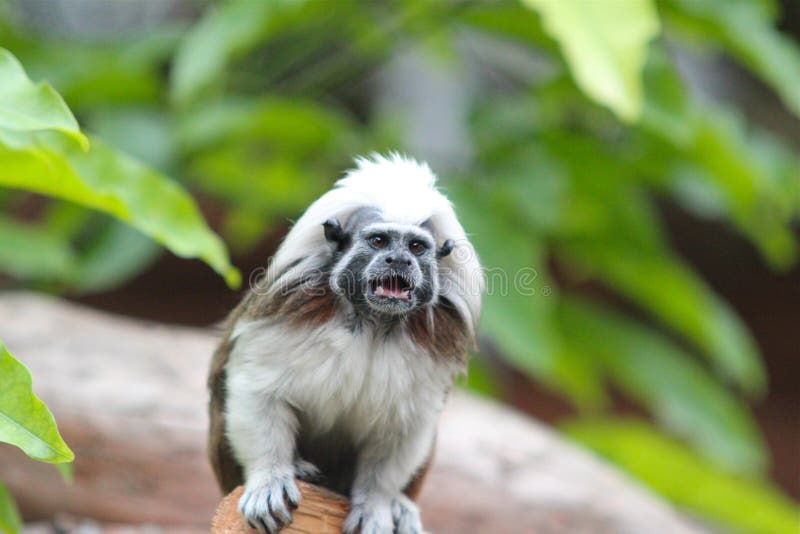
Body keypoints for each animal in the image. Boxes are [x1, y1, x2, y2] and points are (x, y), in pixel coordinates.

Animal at [208, 154, 483, 534]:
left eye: (416, 247)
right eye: (379, 241)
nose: (399, 260)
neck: (371, 322)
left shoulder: (436, 342)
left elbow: (406, 428)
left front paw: (378, 503)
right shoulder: (285, 310)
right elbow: (257, 389)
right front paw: (270, 479)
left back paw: (401, 506)